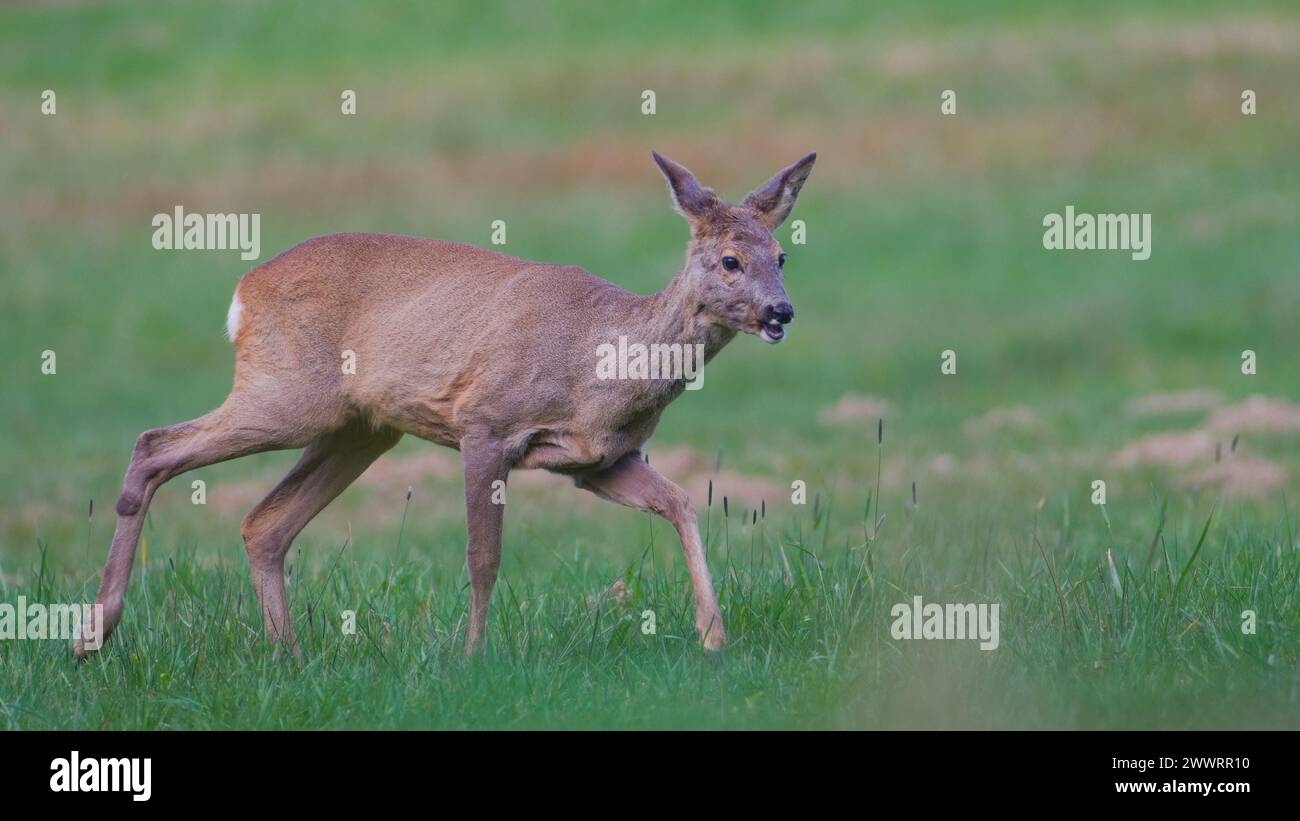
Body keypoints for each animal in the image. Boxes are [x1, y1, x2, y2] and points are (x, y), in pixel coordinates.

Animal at [74, 150, 816, 659]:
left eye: (782, 255)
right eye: (729, 260)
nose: (782, 311)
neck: (604, 362)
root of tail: (242, 291)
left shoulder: (599, 461)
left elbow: (683, 503)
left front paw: (713, 636)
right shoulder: (486, 424)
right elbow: (482, 556)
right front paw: (473, 656)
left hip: (360, 429)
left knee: (265, 522)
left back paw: (287, 656)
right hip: (287, 395)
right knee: (154, 444)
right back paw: (94, 631)